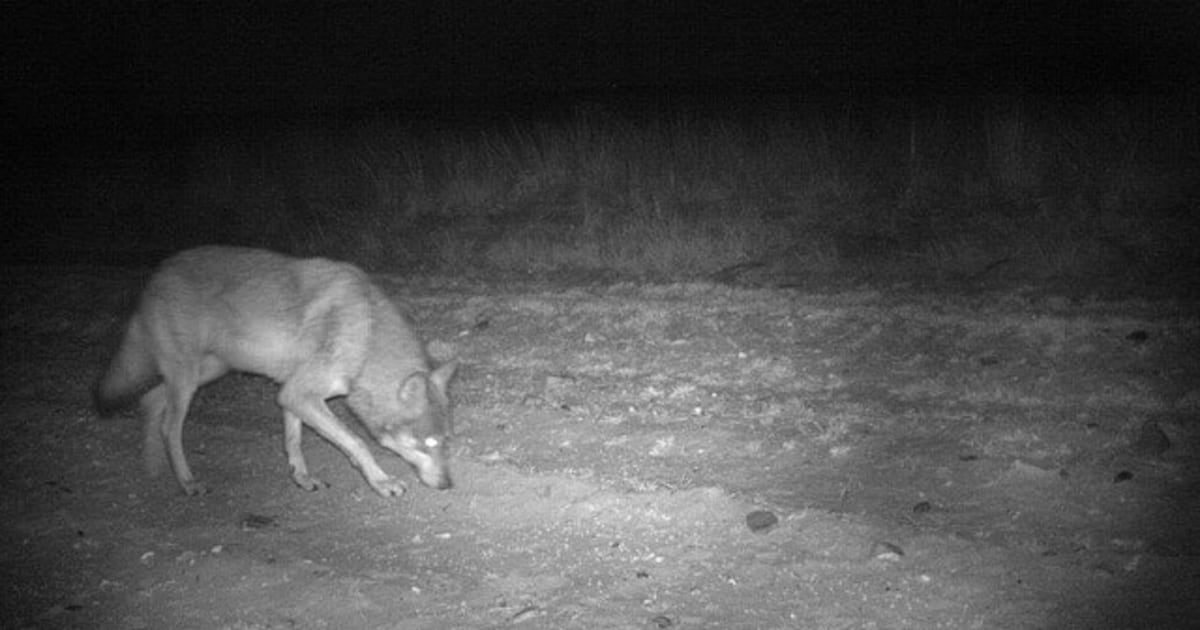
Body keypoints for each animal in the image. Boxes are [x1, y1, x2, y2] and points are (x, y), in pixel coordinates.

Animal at [95, 246, 456, 498]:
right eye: (429, 443)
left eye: (446, 441)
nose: (448, 484)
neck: (366, 336)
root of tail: (157, 274)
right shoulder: (300, 394)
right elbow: (357, 443)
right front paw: (382, 482)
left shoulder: (290, 394)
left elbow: (293, 441)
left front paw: (302, 478)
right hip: (188, 378)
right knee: (170, 426)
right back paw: (187, 482)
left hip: (206, 372)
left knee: (151, 402)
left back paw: (153, 467)